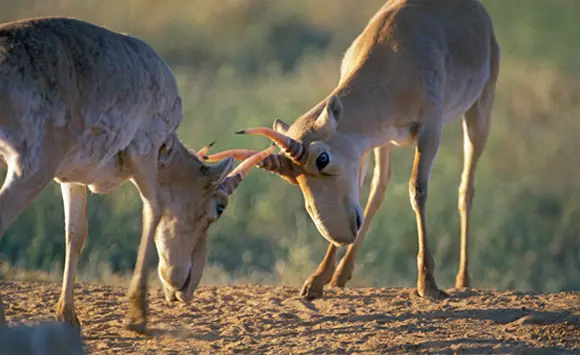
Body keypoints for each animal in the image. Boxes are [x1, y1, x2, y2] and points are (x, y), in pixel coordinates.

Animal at [0, 16, 274, 334]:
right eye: (220, 207)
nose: (187, 288)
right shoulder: (145, 149)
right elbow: (153, 211)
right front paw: (137, 316)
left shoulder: (72, 176)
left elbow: (76, 232)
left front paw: (68, 317)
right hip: (31, 168)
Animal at [206, 0, 500, 300]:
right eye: (290, 178)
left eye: (322, 158)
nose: (340, 234)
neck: (395, 52)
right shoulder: (365, 142)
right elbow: (362, 188)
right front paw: (316, 280)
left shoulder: (431, 128)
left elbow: (417, 189)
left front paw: (428, 284)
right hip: (384, 143)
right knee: (379, 188)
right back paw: (342, 273)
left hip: (480, 107)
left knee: (466, 187)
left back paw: (463, 279)